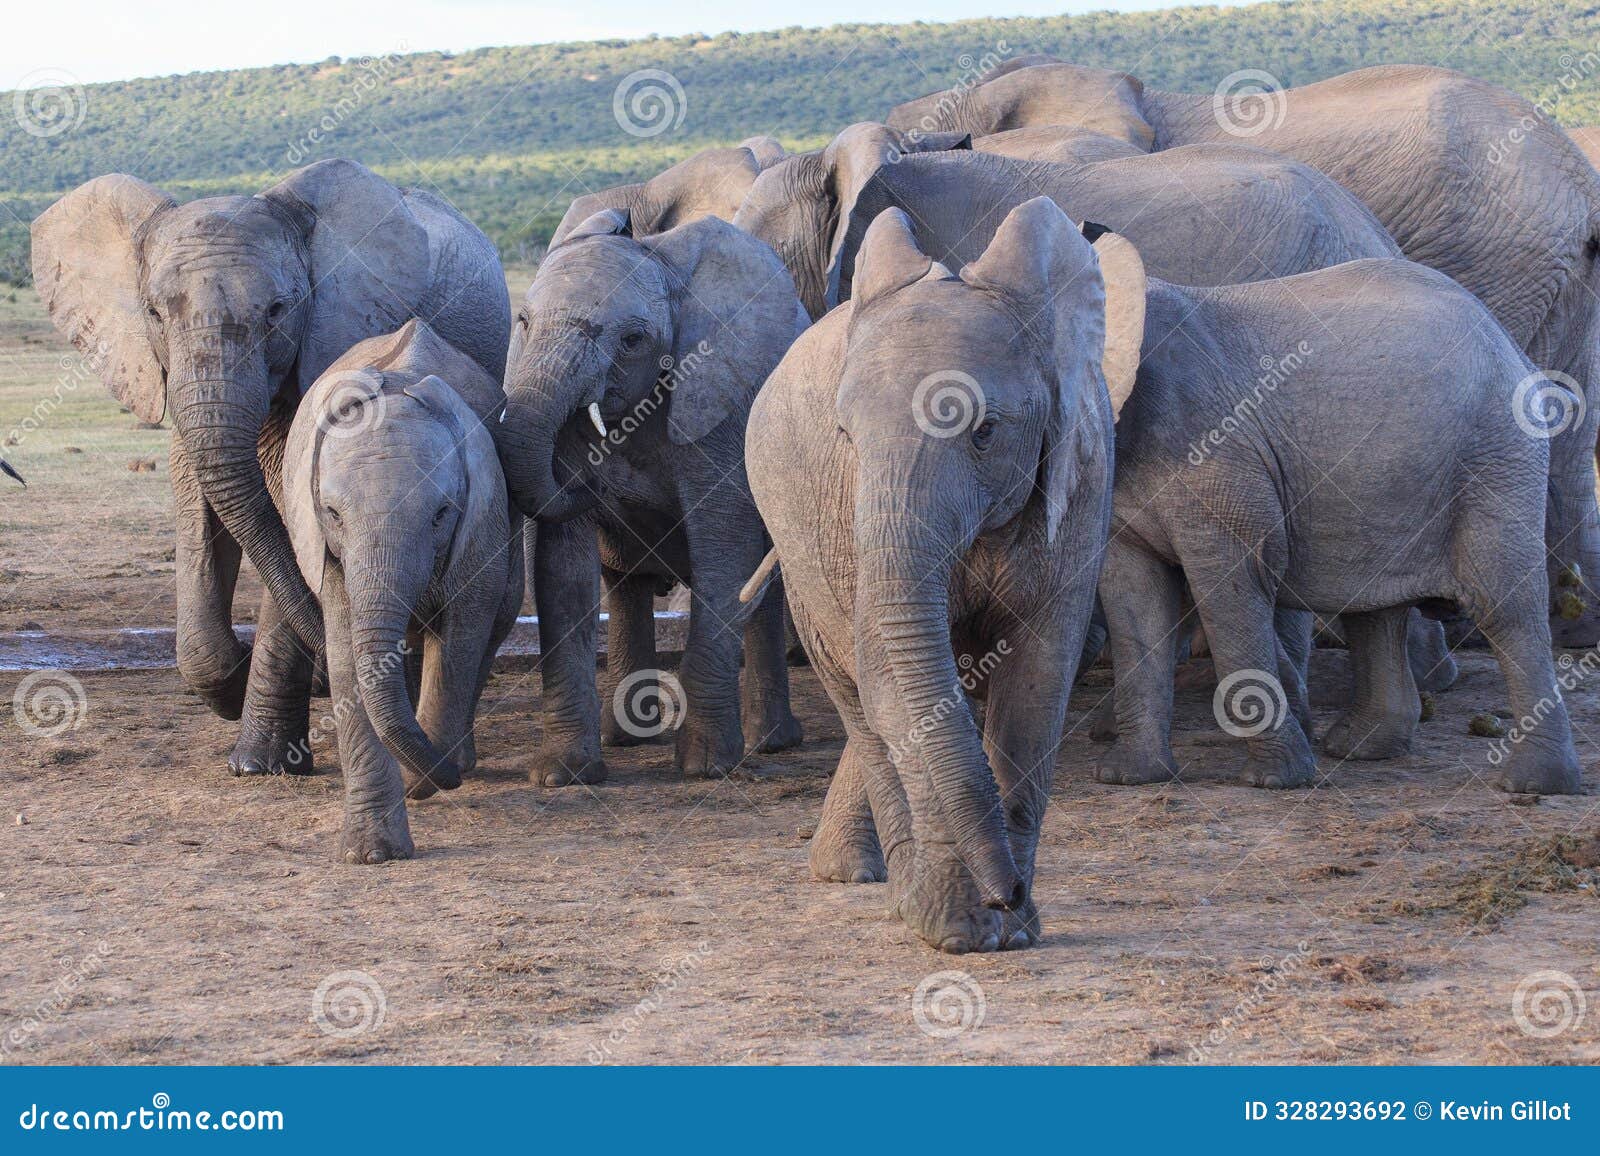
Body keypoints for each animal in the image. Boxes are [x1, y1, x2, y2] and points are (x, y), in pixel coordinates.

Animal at [31, 159, 511, 777]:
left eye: (278, 311)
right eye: (155, 314)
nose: (333, 673)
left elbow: (286, 507)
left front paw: (259, 757)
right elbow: (198, 492)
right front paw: (234, 691)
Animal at [282, 319, 522, 863]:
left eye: (441, 515)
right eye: (332, 514)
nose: (444, 778)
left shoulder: (482, 523)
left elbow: (460, 641)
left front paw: (425, 776)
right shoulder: (330, 553)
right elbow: (347, 659)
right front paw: (372, 854)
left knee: (494, 624)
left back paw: (455, 757)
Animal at [500, 208, 804, 785]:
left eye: (633, 340)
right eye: (523, 323)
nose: (591, 487)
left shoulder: (719, 403)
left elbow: (723, 548)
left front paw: (706, 767)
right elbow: (564, 572)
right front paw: (562, 775)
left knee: (760, 590)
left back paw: (770, 742)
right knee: (626, 586)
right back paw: (625, 738)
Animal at [745, 198, 1128, 952]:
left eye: (985, 432)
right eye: (846, 438)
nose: (1008, 891)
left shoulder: (1084, 473)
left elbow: (1039, 679)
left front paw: (1015, 929)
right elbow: (893, 679)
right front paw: (960, 932)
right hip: (795, 539)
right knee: (858, 696)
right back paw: (892, 892)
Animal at [1095, 245, 1581, 797]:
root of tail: (1515, 351)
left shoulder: (1215, 447)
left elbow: (1231, 586)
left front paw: (1274, 781)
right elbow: (1135, 602)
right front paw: (1126, 776)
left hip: (1496, 456)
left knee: (1504, 606)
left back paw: (1532, 784)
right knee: (1375, 608)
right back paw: (1360, 748)